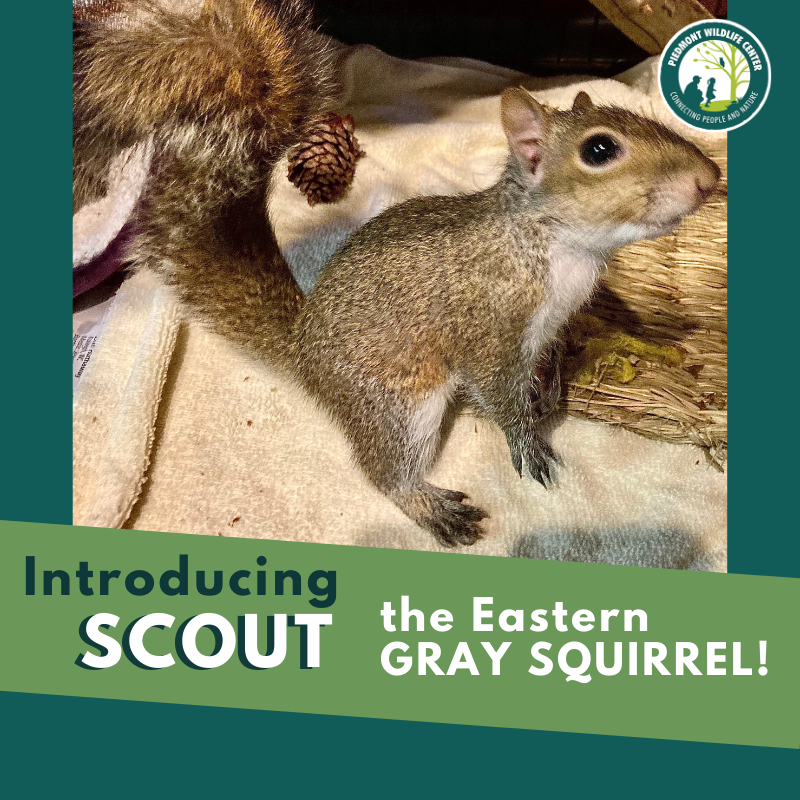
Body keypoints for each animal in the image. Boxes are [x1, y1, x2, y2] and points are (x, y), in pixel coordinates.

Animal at [74, 0, 721, 547]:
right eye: (599, 150)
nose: (708, 177)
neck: (555, 246)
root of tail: (303, 350)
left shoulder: (552, 322)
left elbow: (551, 356)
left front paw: (552, 384)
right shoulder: (487, 328)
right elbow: (497, 391)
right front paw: (527, 441)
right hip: (398, 401)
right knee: (381, 470)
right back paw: (429, 506)